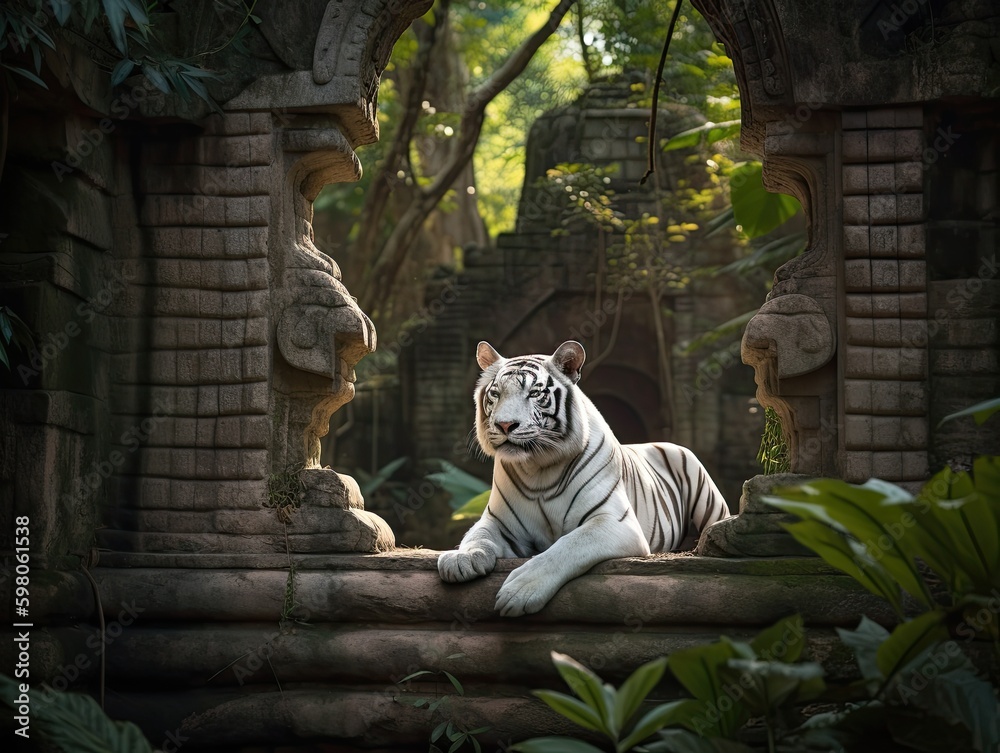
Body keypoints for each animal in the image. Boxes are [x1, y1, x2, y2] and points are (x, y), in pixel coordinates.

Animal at [437, 340, 732, 617]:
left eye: (534, 393)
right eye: (496, 394)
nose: (505, 425)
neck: (538, 469)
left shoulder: (613, 522)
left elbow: (568, 545)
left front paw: (520, 590)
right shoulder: (500, 523)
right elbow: (478, 535)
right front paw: (460, 559)